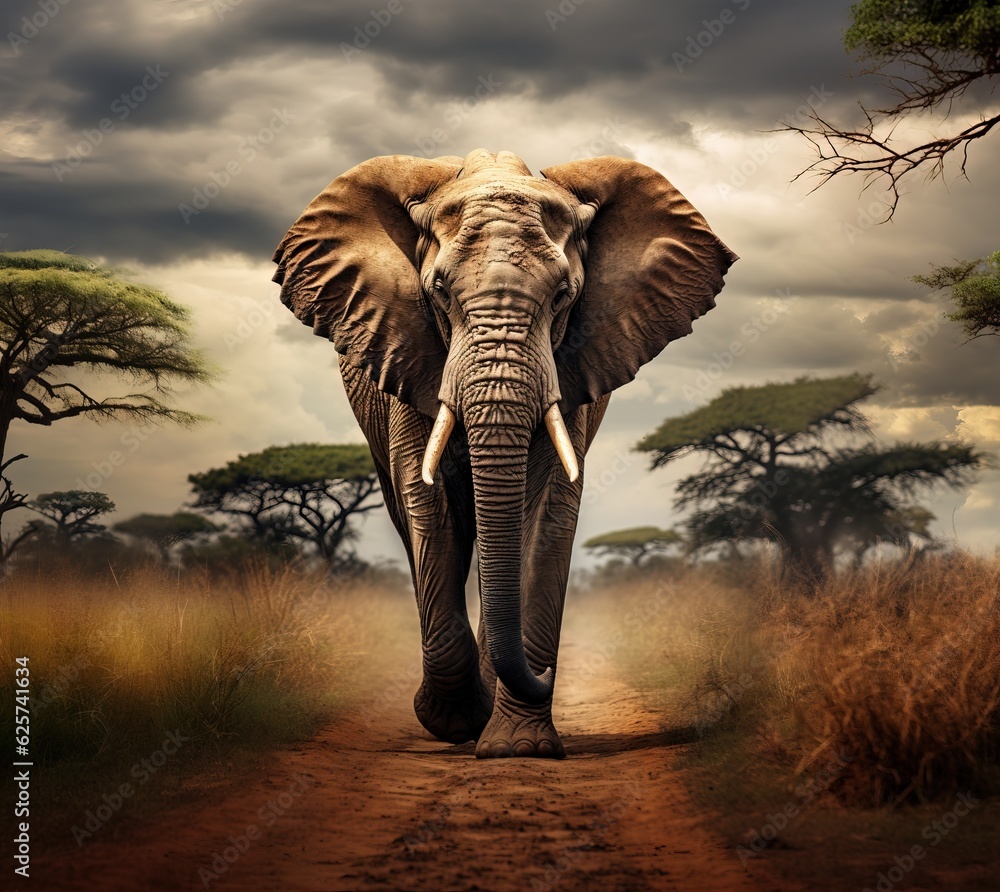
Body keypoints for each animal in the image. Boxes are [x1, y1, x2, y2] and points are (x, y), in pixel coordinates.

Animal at [272, 149, 736, 758]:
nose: (546, 673)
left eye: (563, 296)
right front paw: (454, 721)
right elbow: (428, 507)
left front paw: (518, 748)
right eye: (439, 292)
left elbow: (547, 511)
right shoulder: (406, 352)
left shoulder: (571, 368)